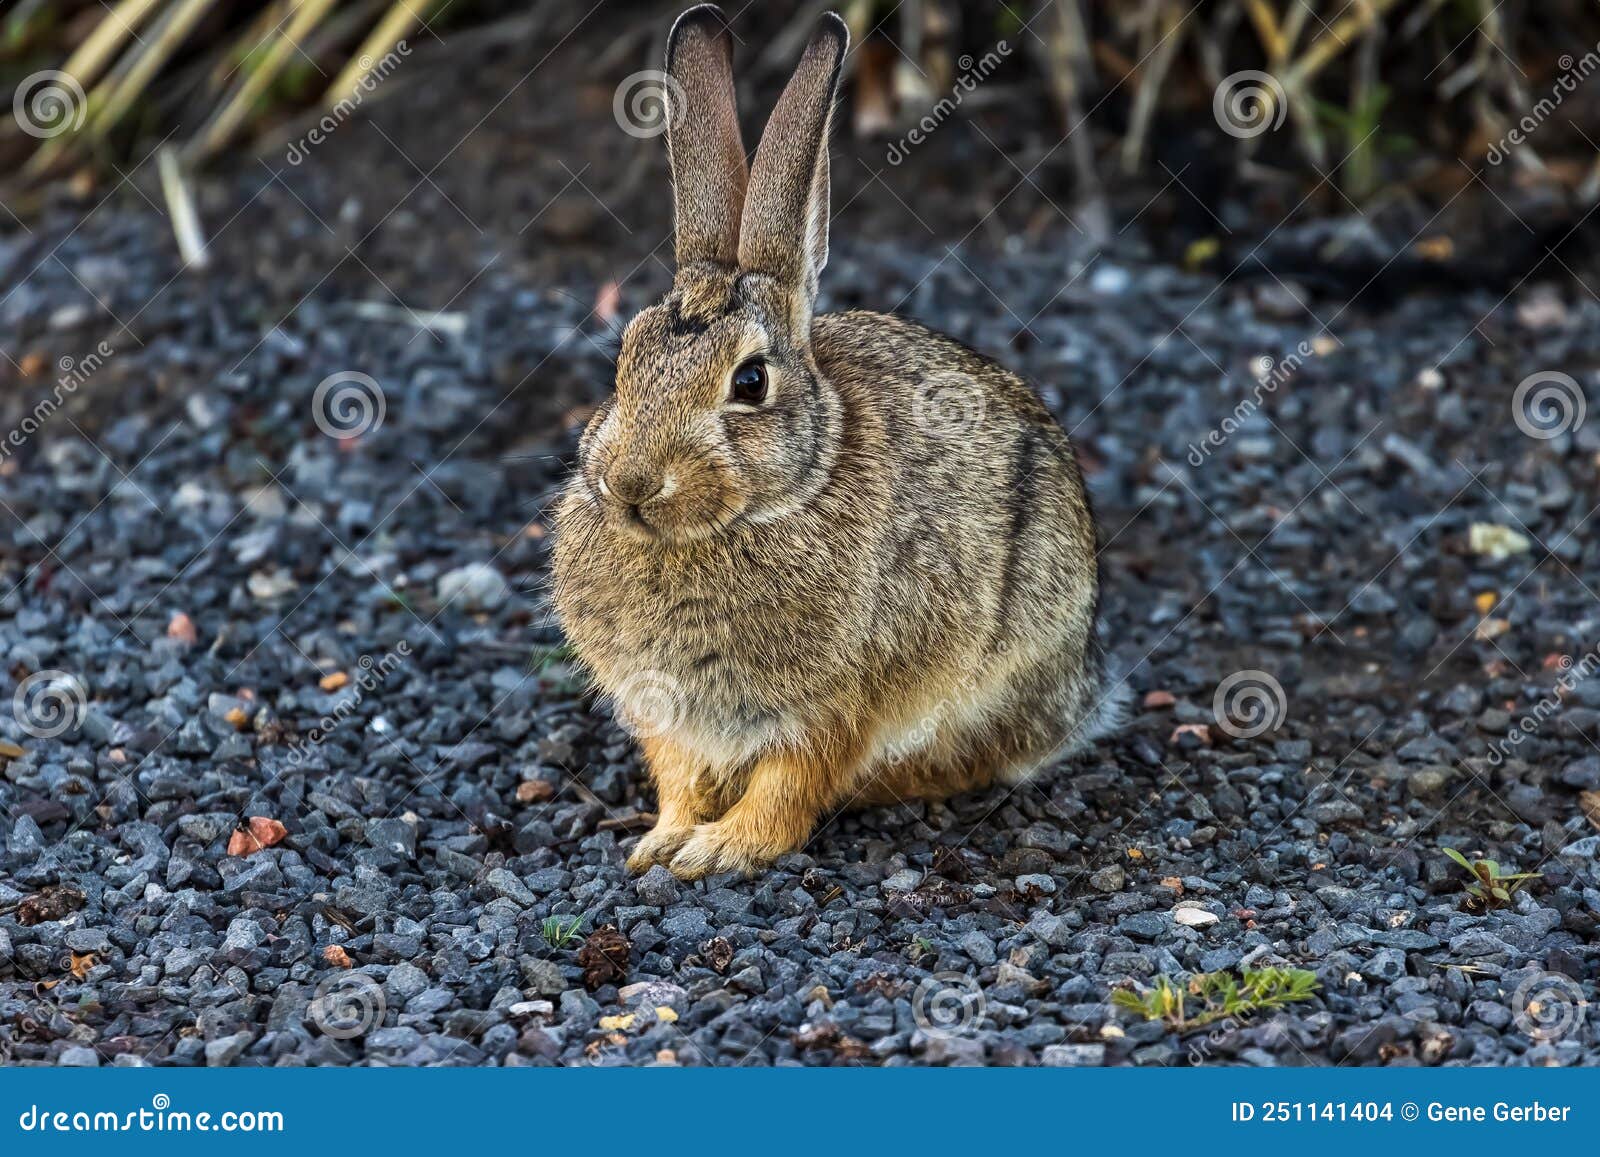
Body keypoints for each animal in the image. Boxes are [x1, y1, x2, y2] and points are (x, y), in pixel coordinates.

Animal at [551, 4, 1124, 881]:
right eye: (625, 359)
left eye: (750, 382)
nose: (632, 484)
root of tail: (1080, 692)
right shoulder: (665, 712)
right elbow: (680, 777)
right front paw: (661, 840)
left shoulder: (836, 704)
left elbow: (793, 786)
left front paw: (722, 849)